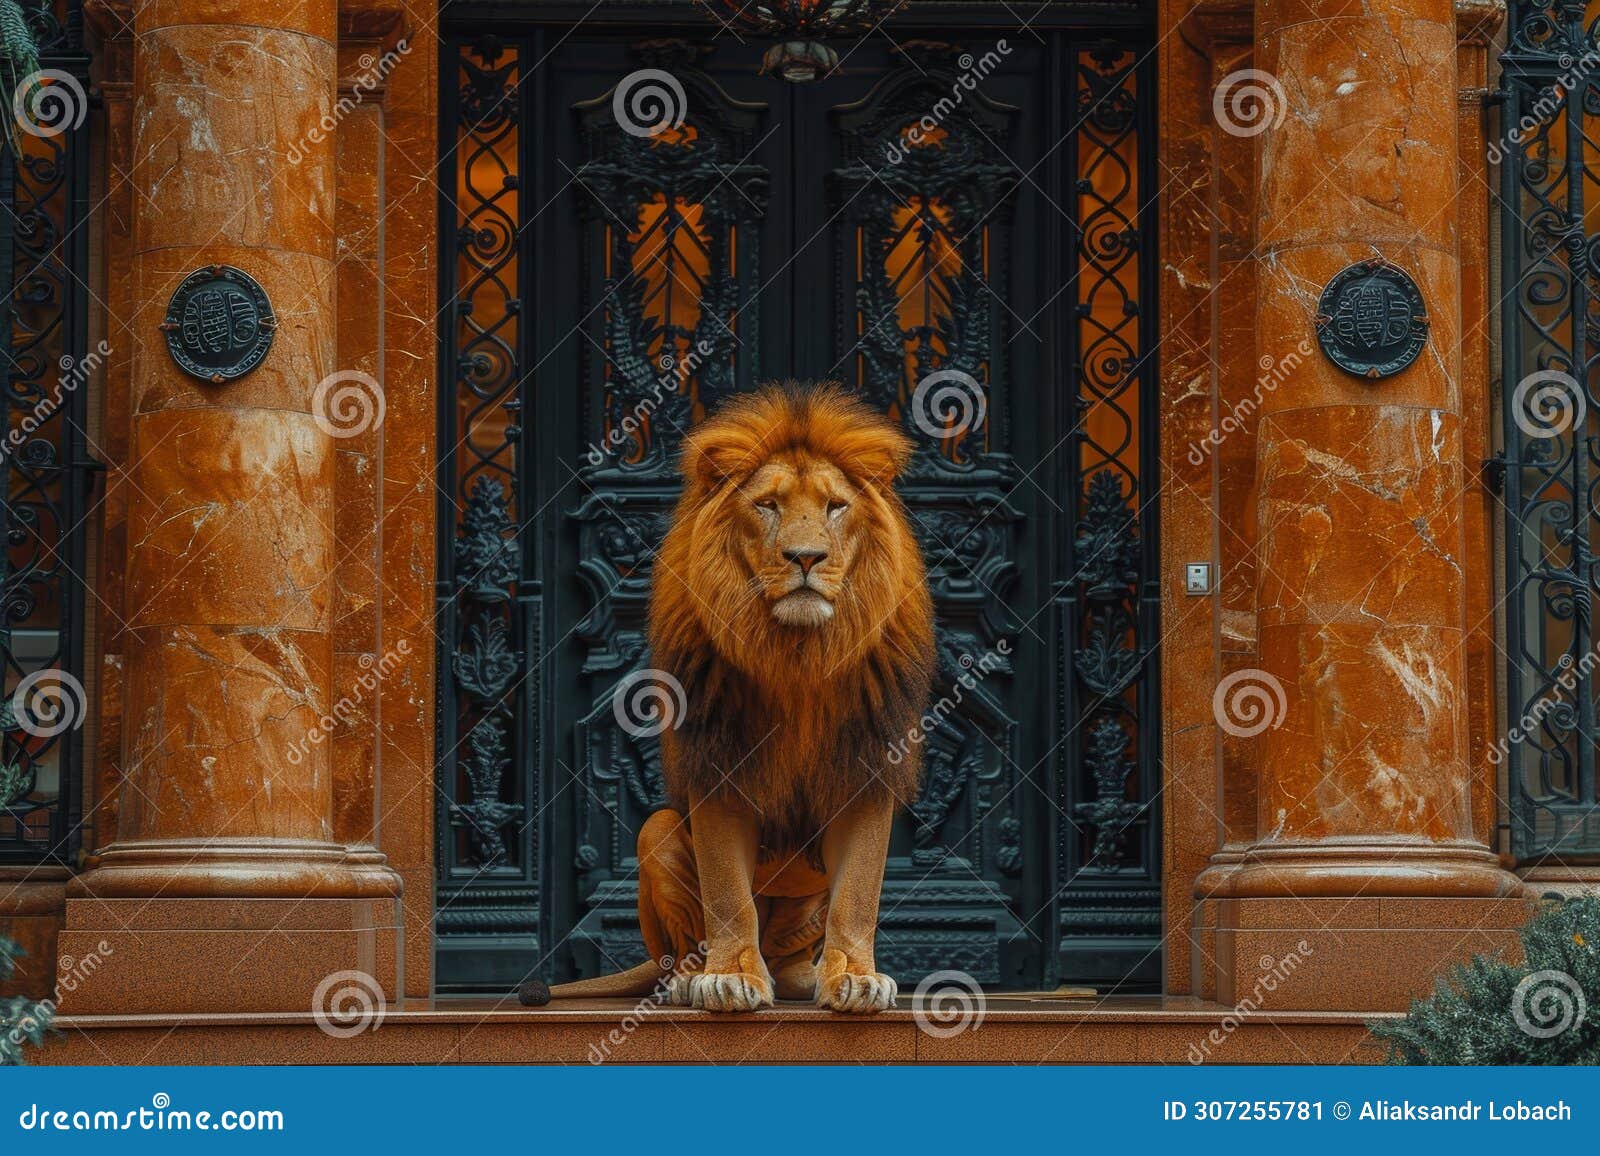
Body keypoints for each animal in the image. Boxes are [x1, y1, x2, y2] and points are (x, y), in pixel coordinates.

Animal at [522, 383, 934, 1013]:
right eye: (767, 505)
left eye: (836, 506)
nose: (806, 557)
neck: (796, 655)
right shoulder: (718, 765)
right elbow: (726, 893)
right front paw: (731, 975)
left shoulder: (866, 764)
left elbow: (859, 894)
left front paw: (858, 977)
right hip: (657, 832)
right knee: (683, 945)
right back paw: (690, 980)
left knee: (789, 956)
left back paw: (806, 975)